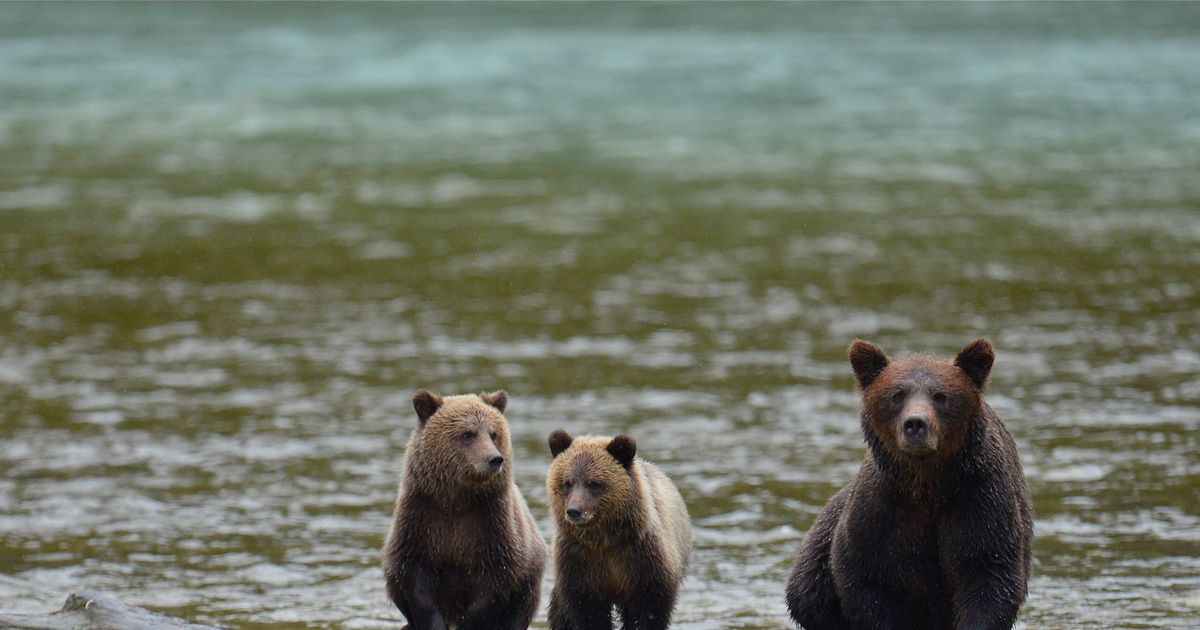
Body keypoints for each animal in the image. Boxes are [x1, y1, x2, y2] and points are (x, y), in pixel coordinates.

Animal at [382, 390, 548, 630]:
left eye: (493, 434)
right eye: (468, 434)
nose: (495, 459)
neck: (458, 499)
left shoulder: (492, 528)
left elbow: (493, 586)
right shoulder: (420, 522)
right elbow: (417, 584)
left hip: (529, 578)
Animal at [545, 430, 692, 630]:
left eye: (594, 483)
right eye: (567, 482)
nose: (574, 511)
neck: (605, 539)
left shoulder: (641, 558)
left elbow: (650, 609)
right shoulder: (579, 563)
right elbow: (587, 611)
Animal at [786, 339, 1033, 630]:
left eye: (941, 396)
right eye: (897, 395)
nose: (915, 423)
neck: (925, 485)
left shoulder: (979, 501)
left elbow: (988, 576)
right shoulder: (880, 512)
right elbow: (865, 578)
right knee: (807, 591)